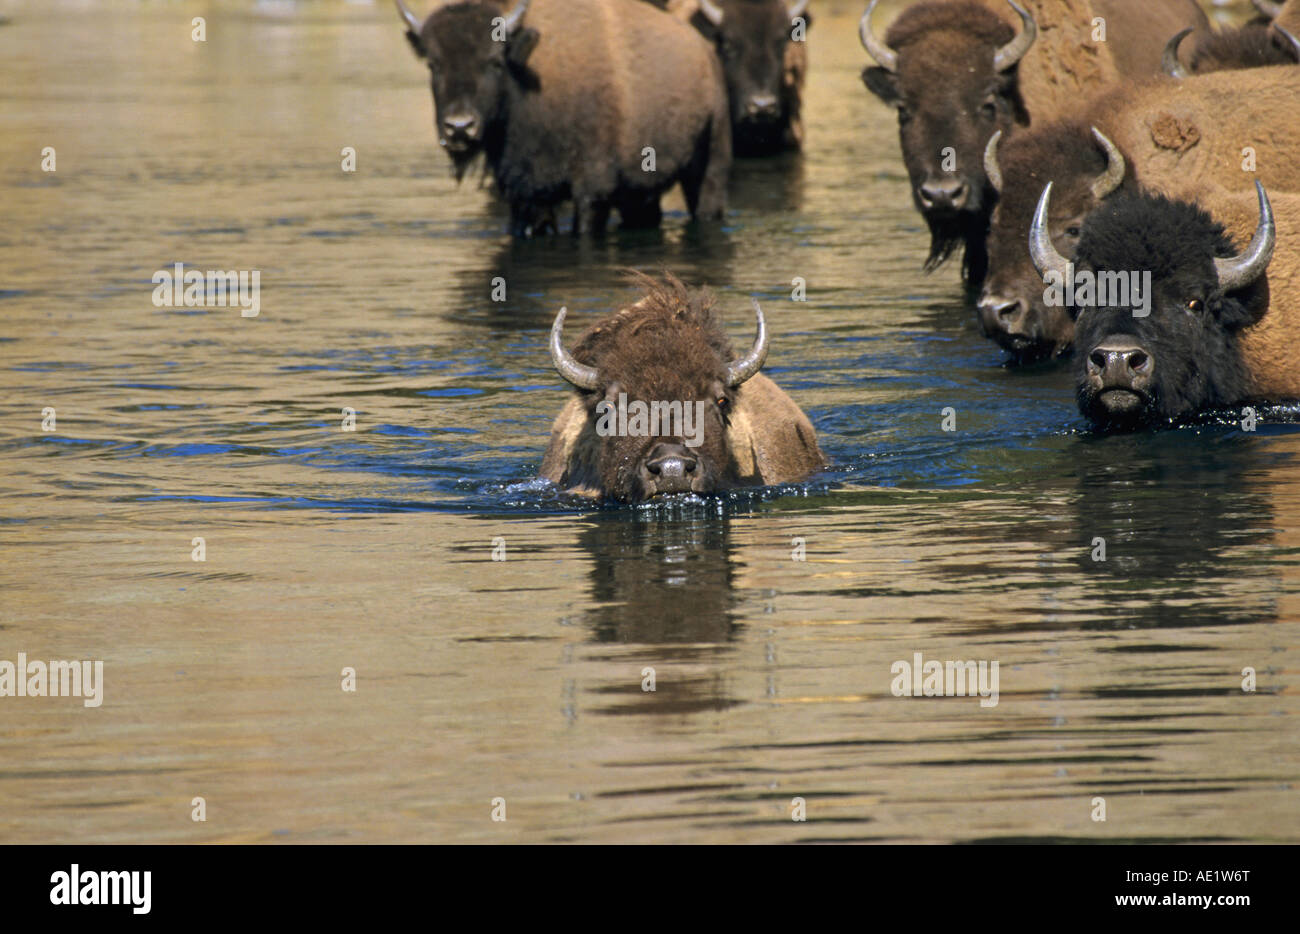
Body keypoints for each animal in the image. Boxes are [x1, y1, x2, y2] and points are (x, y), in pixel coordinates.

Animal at [395, 0, 731, 235]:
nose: (459, 127)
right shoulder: (526, 196)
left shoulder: (592, 192)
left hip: (708, 168)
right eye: (433, 64)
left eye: (494, 61)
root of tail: (704, 53)